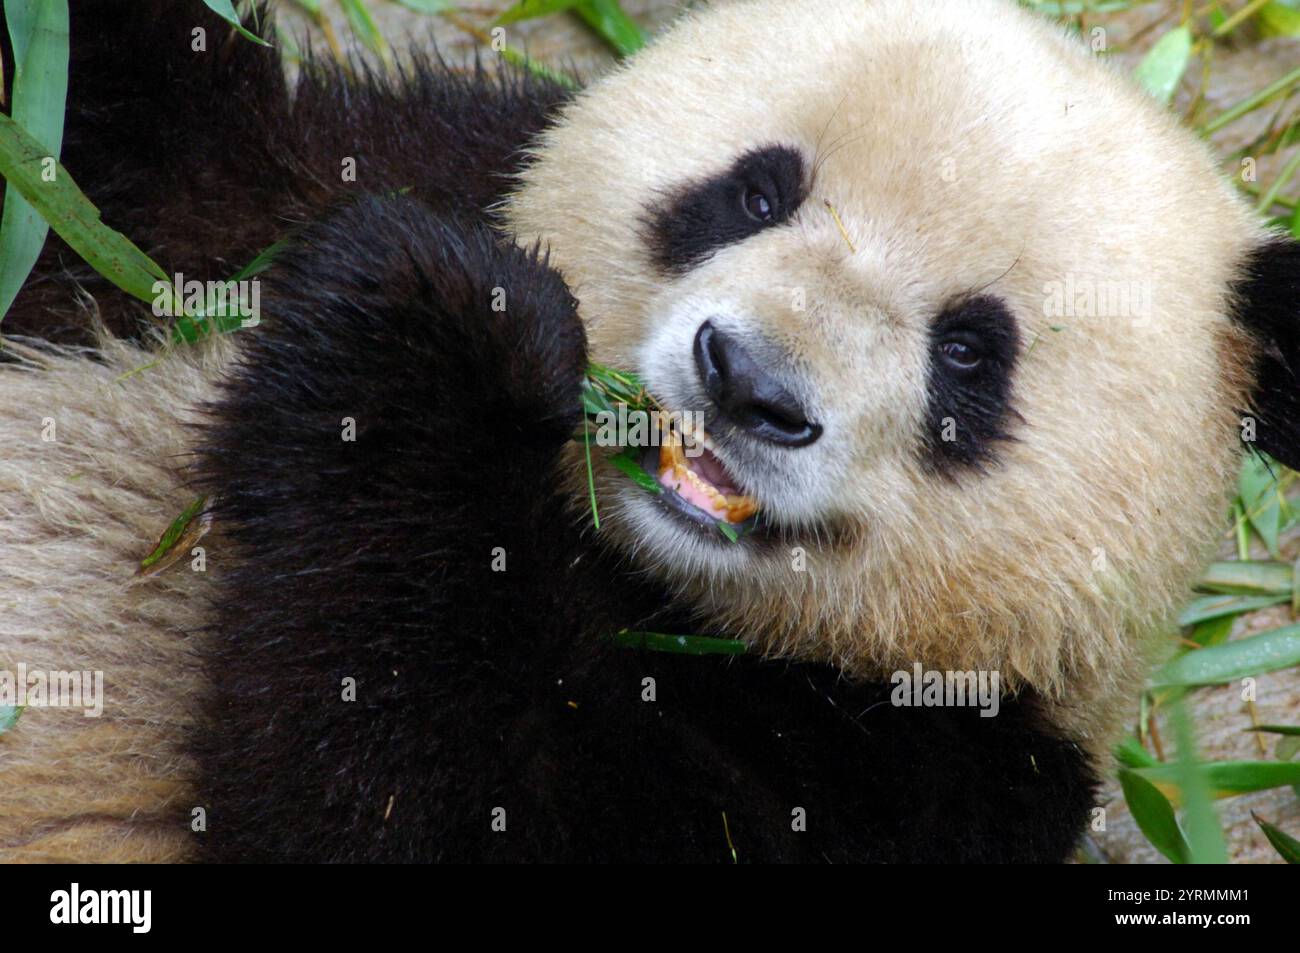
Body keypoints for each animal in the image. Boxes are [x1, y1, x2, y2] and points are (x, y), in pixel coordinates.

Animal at [0, 0, 1297, 863]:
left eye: (972, 351)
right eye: (754, 191)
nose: (748, 381)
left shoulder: (926, 780)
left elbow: (402, 805)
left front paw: (434, 315)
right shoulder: (298, 189)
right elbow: (124, 150)